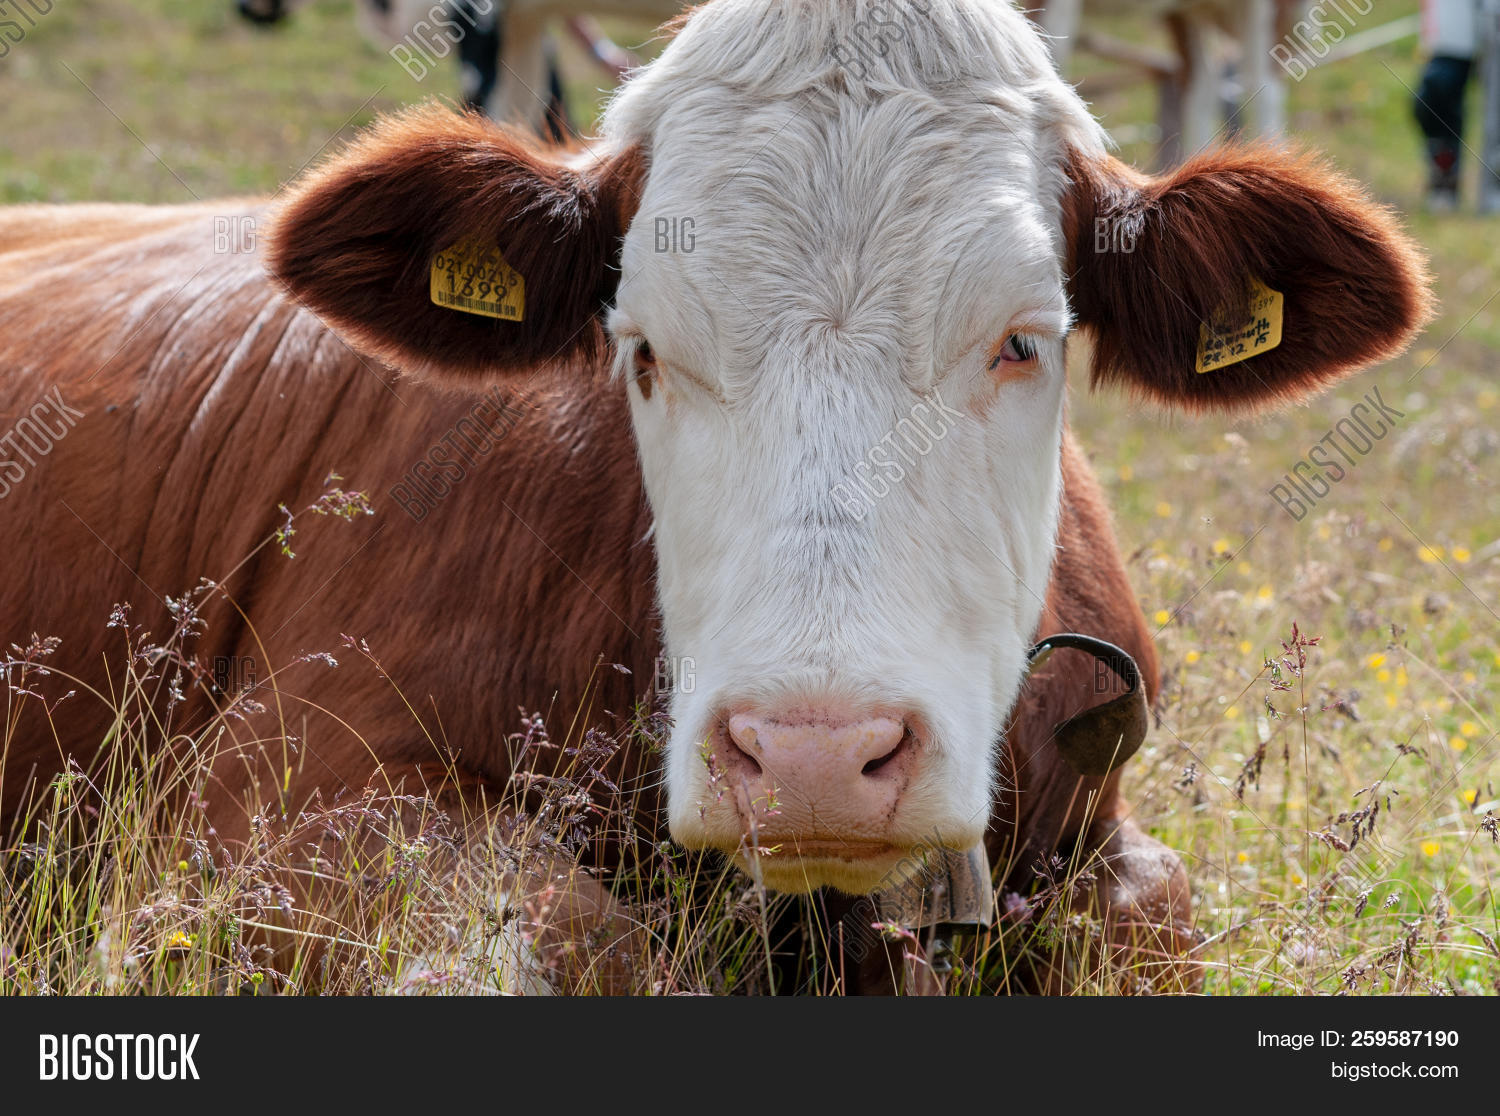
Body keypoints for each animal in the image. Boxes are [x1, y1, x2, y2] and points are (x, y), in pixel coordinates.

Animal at [0, 0, 1430, 993]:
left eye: (1024, 340)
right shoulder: (254, 809)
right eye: (641, 347)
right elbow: (576, 937)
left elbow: (1148, 915)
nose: (813, 757)